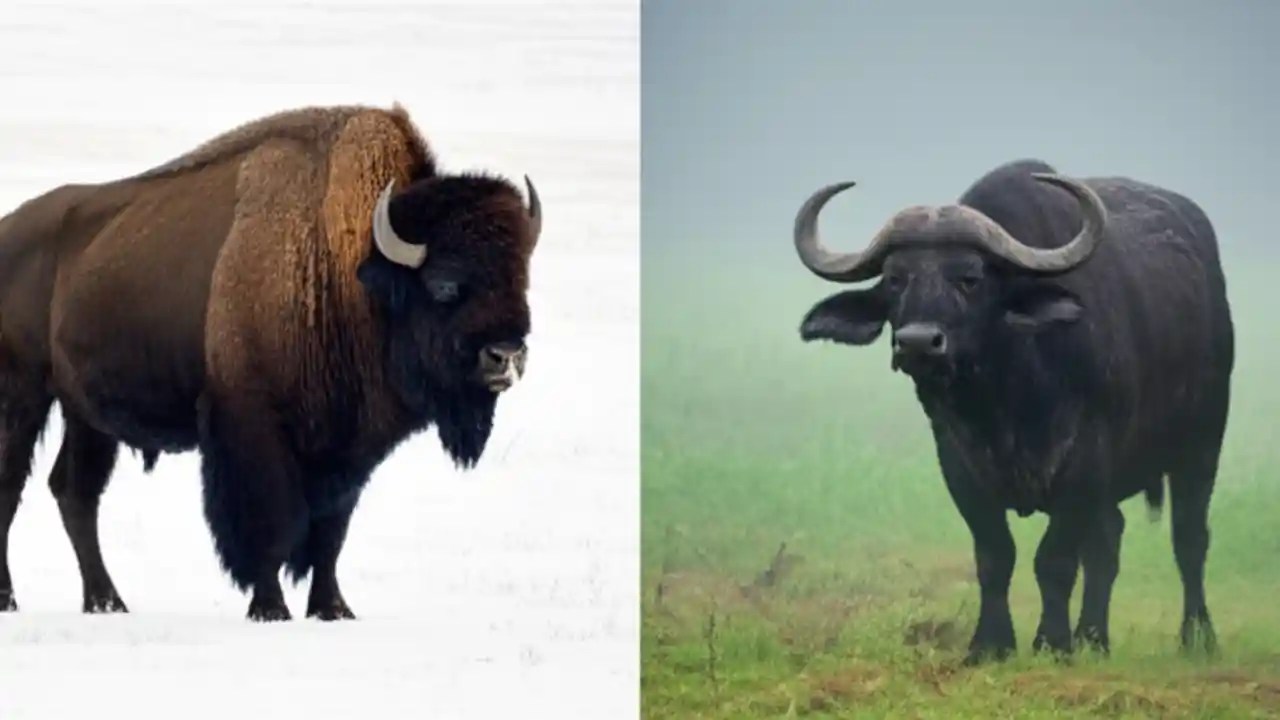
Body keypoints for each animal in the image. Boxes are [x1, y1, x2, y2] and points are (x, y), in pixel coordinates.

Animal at [0, 104, 541, 620]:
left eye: (519, 278)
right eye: (445, 284)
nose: (506, 357)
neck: (349, 270)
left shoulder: (347, 450)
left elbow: (330, 535)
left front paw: (333, 609)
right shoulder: (253, 428)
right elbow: (270, 526)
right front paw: (270, 608)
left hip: (86, 417)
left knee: (75, 492)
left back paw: (106, 601)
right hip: (23, 398)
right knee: (15, 486)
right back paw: (13, 600)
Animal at [795, 160, 1232, 662]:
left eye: (970, 277)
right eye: (894, 279)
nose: (918, 343)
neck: (1006, 399)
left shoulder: (1083, 463)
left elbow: (1055, 559)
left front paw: (1052, 642)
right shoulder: (960, 469)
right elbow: (994, 556)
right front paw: (990, 643)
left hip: (1202, 443)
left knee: (1189, 539)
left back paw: (1196, 636)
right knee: (1108, 541)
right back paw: (1094, 638)